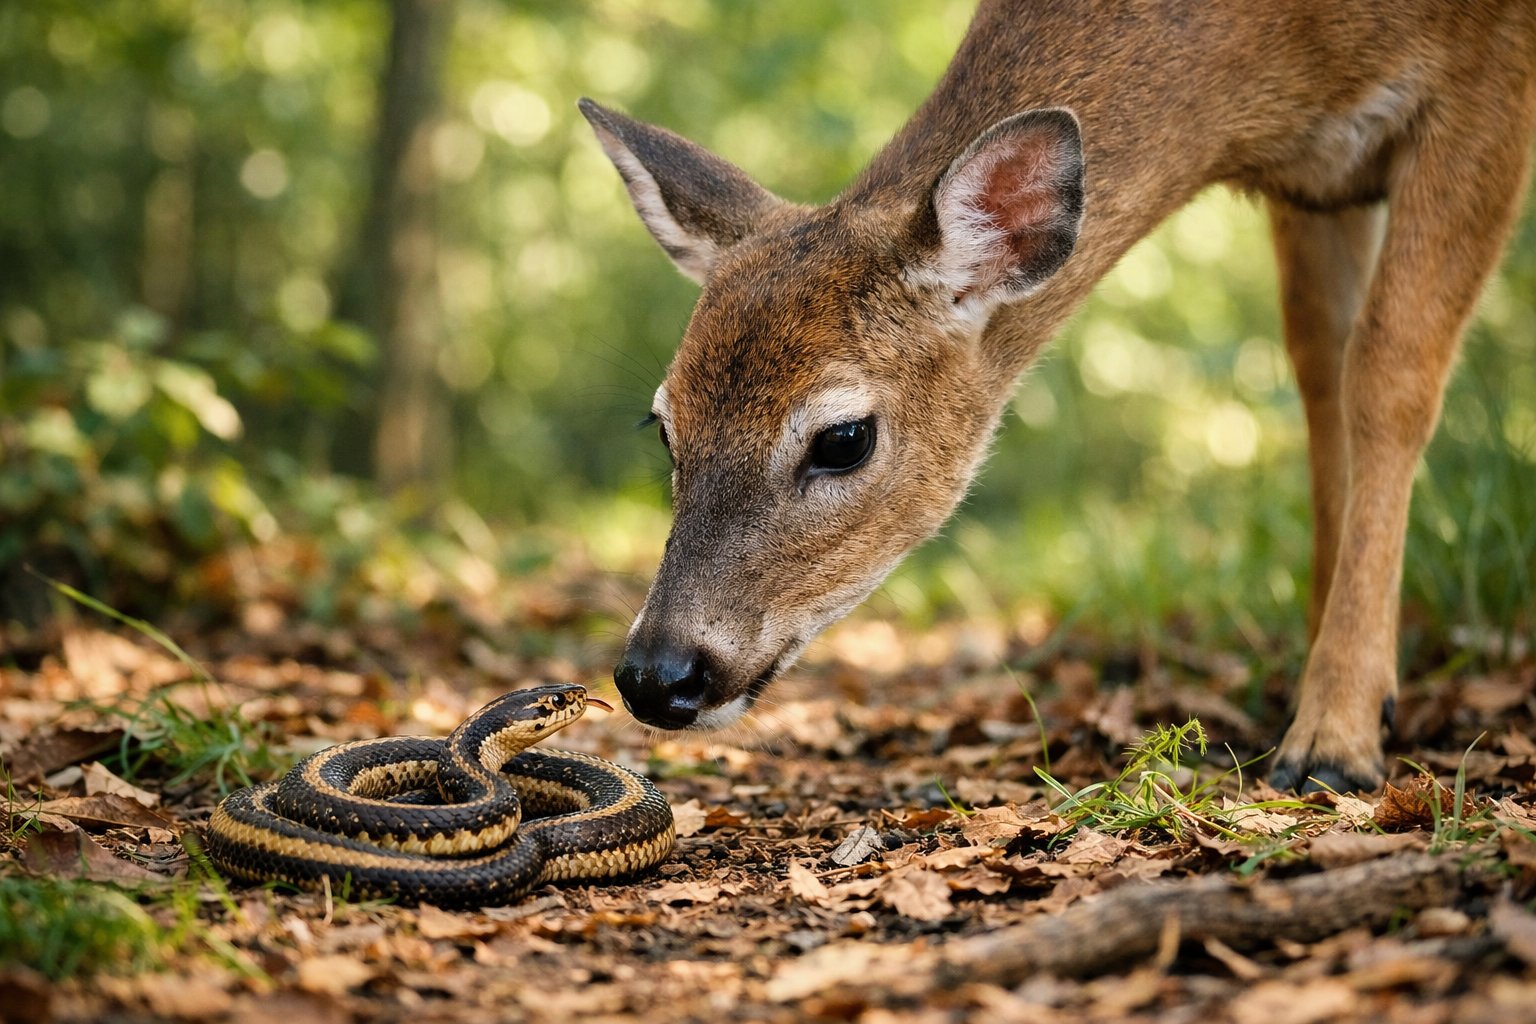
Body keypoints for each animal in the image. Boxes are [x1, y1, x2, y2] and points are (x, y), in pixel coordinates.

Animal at [579, 0, 1536, 792]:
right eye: (663, 426)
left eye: (843, 439)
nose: (657, 676)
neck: (1282, 81)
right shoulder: (1318, 184)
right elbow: (1320, 371)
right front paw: (1334, 680)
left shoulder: (1488, 81)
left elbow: (1387, 374)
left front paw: (1335, 737)